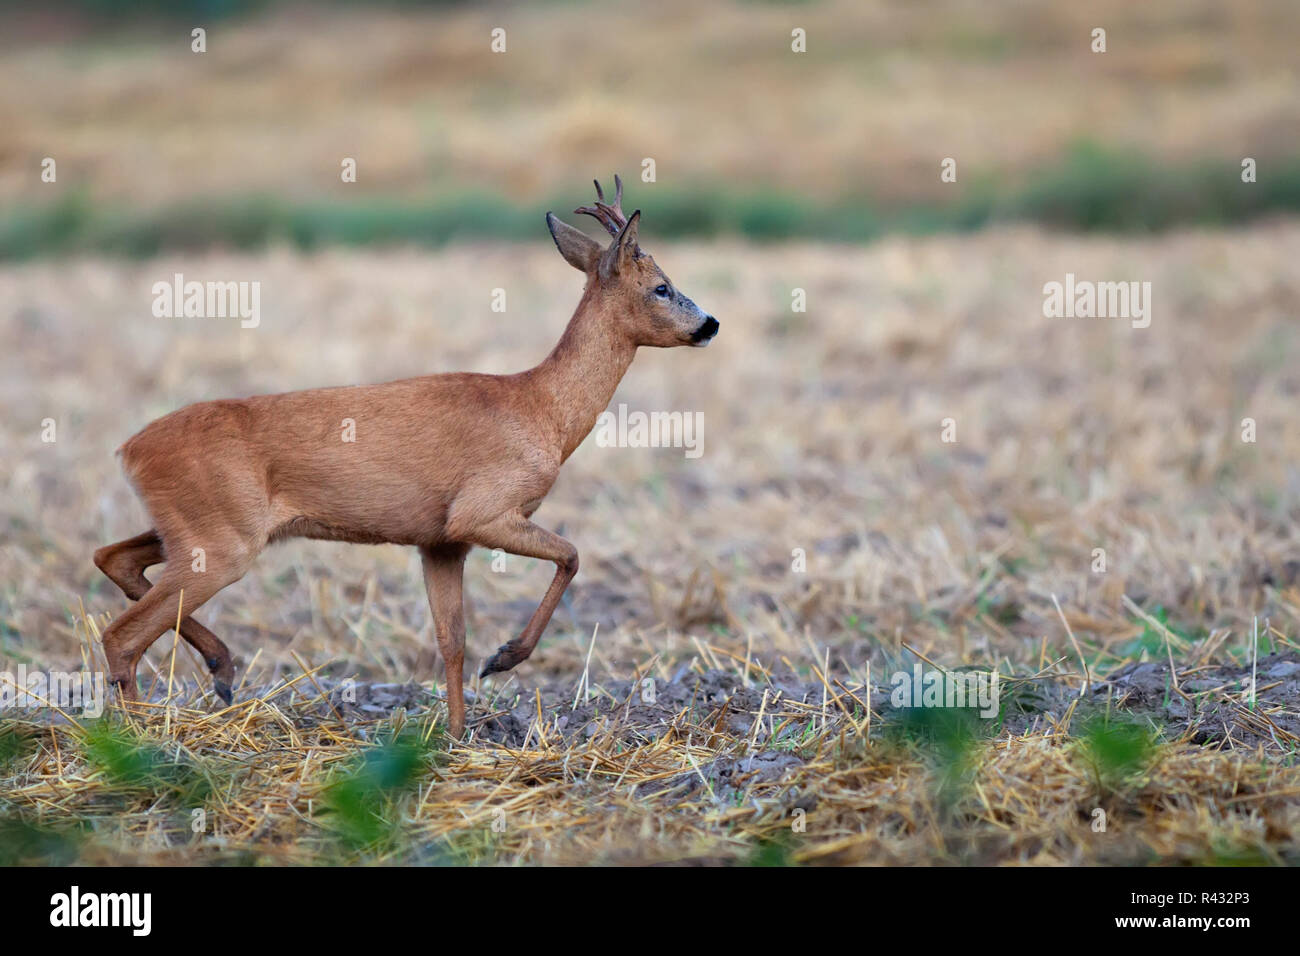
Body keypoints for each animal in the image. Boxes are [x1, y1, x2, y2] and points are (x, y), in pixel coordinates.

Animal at [92, 175, 718, 738]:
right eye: (661, 286)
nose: (710, 323)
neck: (540, 408)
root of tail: (129, 449)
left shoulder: (440, 540)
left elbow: (452, 640)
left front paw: (456, 734)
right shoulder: (481, 510)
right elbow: (571, 556)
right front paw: (505, 658)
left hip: (198, 529)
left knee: (112, 559)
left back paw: (217, 670)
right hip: (221, 540)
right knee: (121, 633)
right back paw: (141, 739)